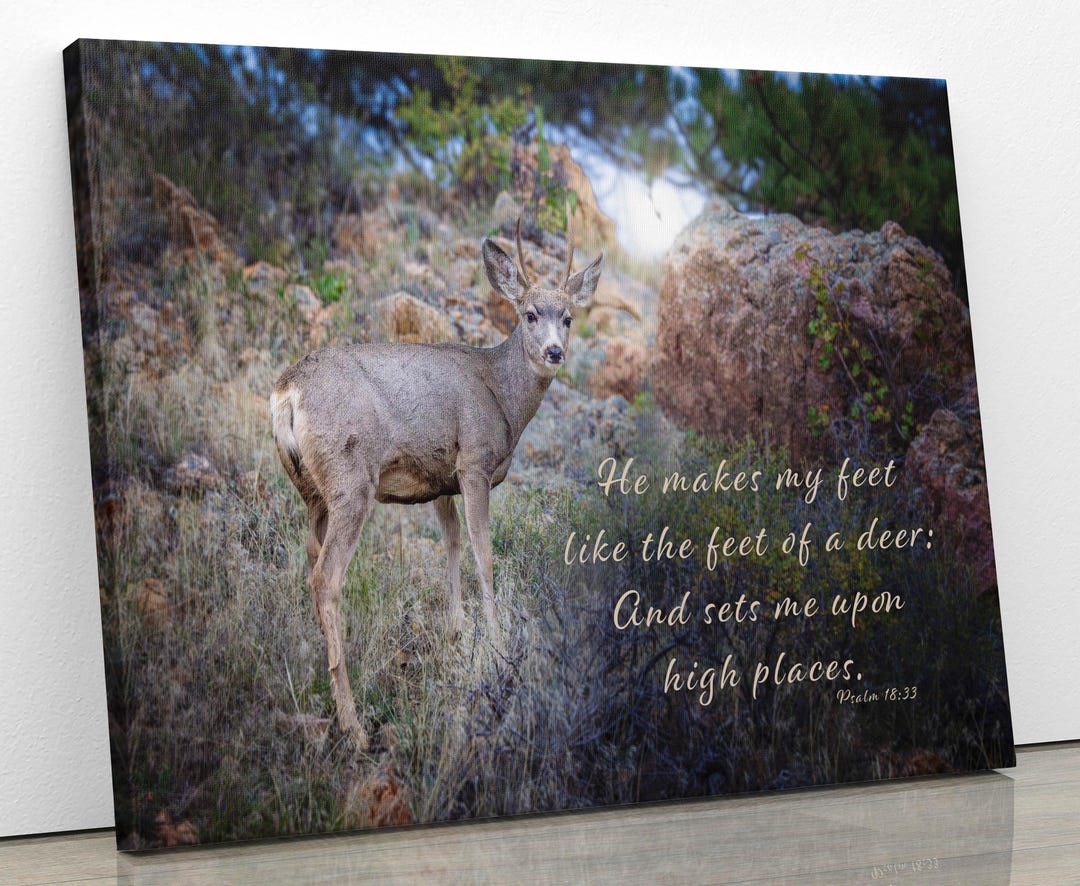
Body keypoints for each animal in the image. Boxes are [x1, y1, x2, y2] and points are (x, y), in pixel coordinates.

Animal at [270, 218, 603, 750]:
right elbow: (483, 553)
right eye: (530, 314)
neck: (501, 396)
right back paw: (353, 724)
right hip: (351, 480)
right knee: (325, 578)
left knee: (309, 557)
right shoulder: (473, 464)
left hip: (313, 492)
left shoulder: (441, 481)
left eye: (569, 317)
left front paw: (457, 628)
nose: (555, 352)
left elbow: (452, 545)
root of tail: (285, 394)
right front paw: (495, 639)